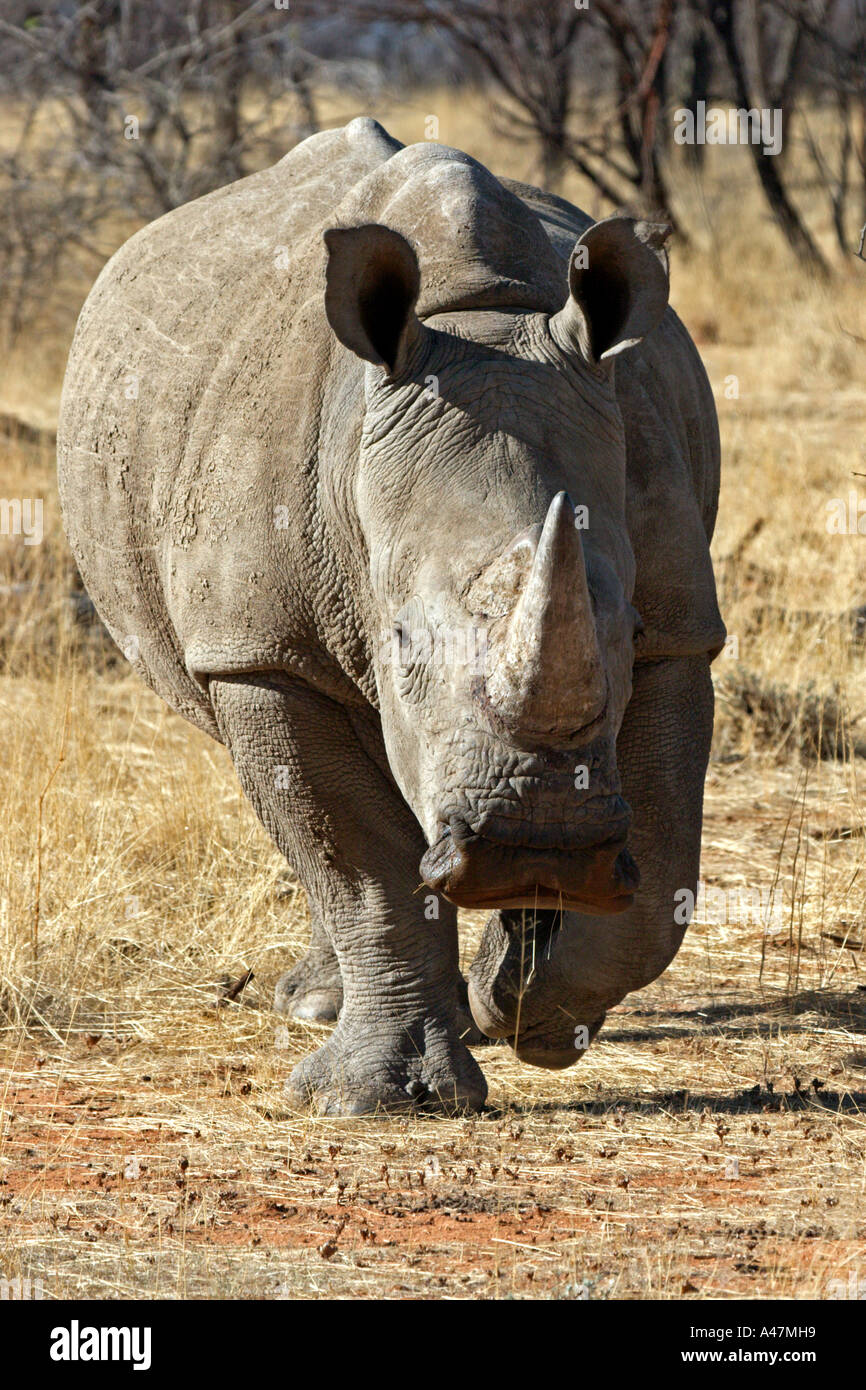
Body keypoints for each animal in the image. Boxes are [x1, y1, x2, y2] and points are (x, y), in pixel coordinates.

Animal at [58, 118, 725, 1115]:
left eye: (631, 634)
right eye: (398, 638)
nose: (538, 842)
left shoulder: (682, 624)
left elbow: (659, 872)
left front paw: (524, 1002)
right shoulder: (261, 646)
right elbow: (353, 857)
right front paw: (378, 1097)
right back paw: (319, 1005)